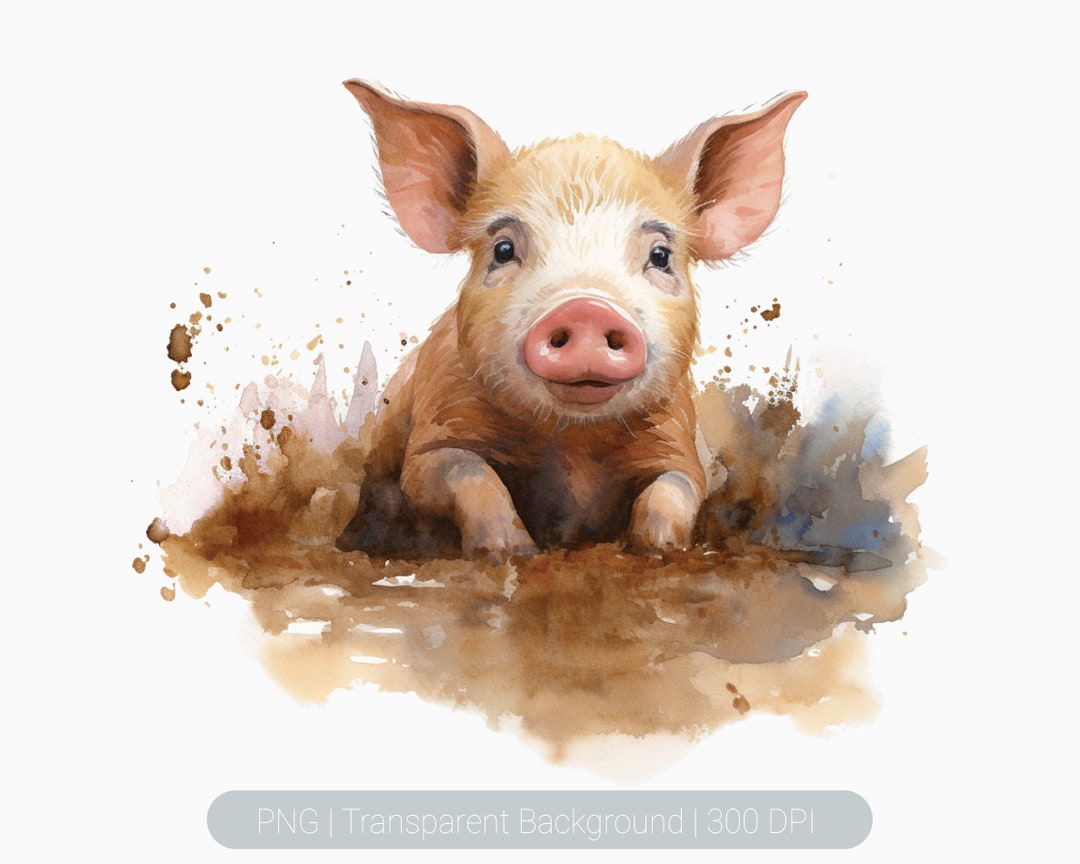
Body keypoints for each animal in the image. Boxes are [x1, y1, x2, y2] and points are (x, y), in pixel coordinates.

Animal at [336, 80, 805, 561]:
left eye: (661, 255)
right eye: (503, 249)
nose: (586, 308)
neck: (574, 441)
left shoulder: (676, 440)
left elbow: (673, 489)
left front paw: (660, 551)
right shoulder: (436, 429)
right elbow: (464, 471)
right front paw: (512, 552)